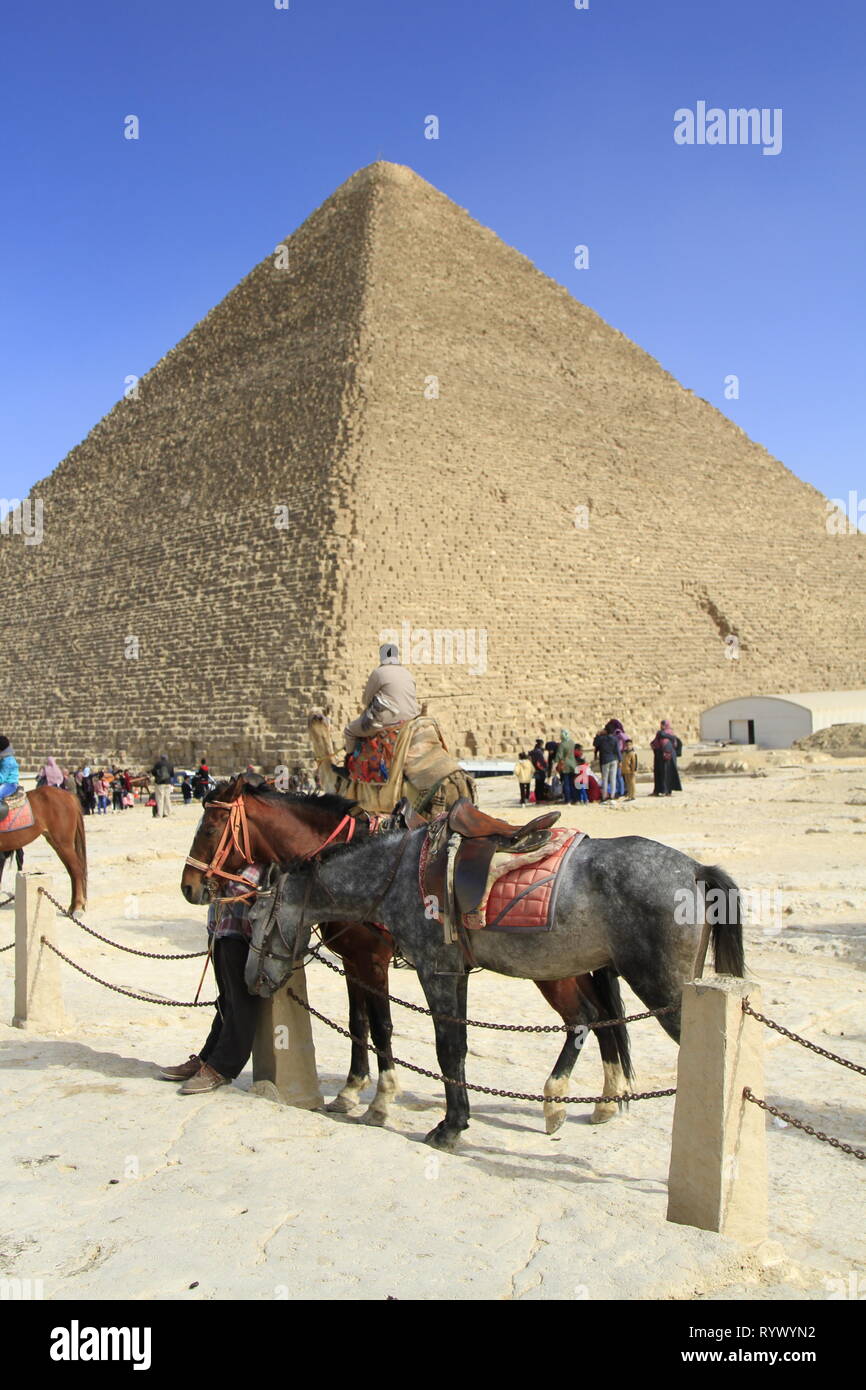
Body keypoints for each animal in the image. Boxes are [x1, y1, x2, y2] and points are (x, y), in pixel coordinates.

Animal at [180, 778, 634, 1128]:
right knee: (603, 1015)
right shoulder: (352, 960)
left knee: (583, 1016)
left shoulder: (372, 961)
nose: (189, 887)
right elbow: (357, 1022)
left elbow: (382, 1025)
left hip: (552, 969)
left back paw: (559, 1101)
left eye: (210, 828)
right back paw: (607, 1099)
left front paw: (381, 1100)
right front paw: (350, 1091)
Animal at [245, 819, 745, 1152]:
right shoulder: (453, 970)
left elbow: (442, 1046)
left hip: (663, 991)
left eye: (253, 918)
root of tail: (695, 869)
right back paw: (562, 1103)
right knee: (591, 1020)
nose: (252, 981)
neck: (397, 874)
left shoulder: (430, 969)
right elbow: (453, 1045)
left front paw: (446, 1126)